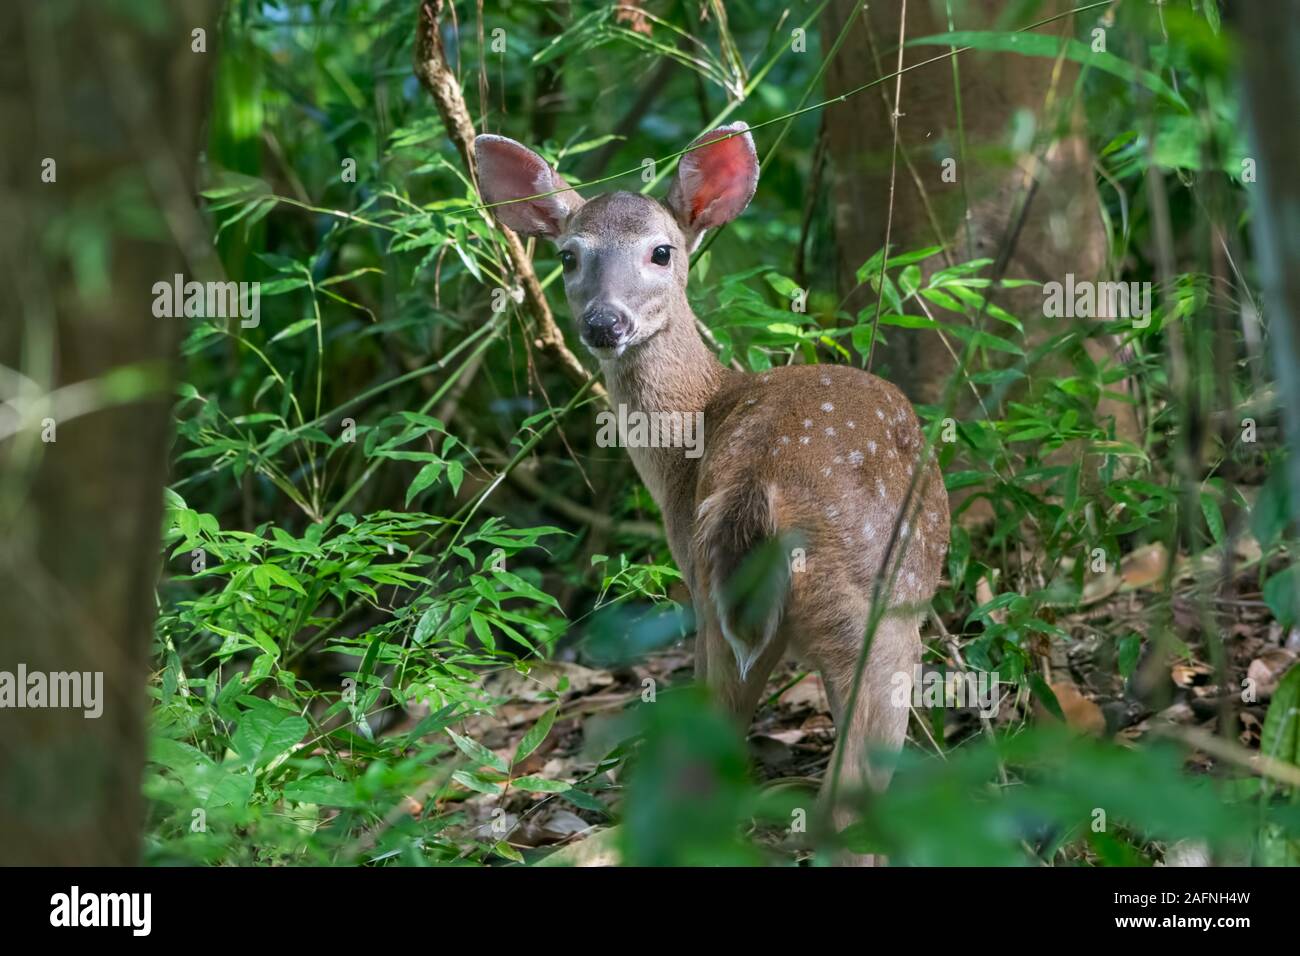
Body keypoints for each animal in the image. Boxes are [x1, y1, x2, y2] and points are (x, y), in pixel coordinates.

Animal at [475, 123, 949, 863]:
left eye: (661, 251)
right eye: (568, 256)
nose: (604, 324)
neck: (696, 428)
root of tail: (758, 486)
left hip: (723, 586)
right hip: (879, 602)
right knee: (848, 790)